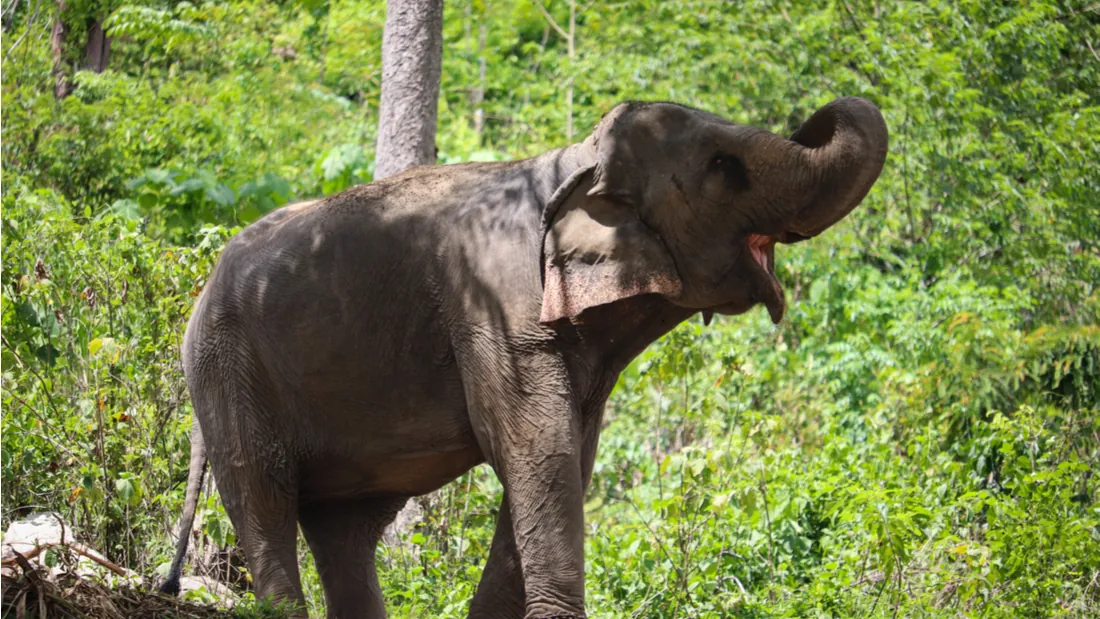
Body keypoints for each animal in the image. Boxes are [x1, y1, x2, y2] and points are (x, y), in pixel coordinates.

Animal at [160, 96, 887, 618]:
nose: (812, 114)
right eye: (722, 167)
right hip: (229, 371)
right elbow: (536, 449)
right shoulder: (494, 309)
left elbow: (563, 457)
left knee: (345, 530)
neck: (568, 162)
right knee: (264, 496)